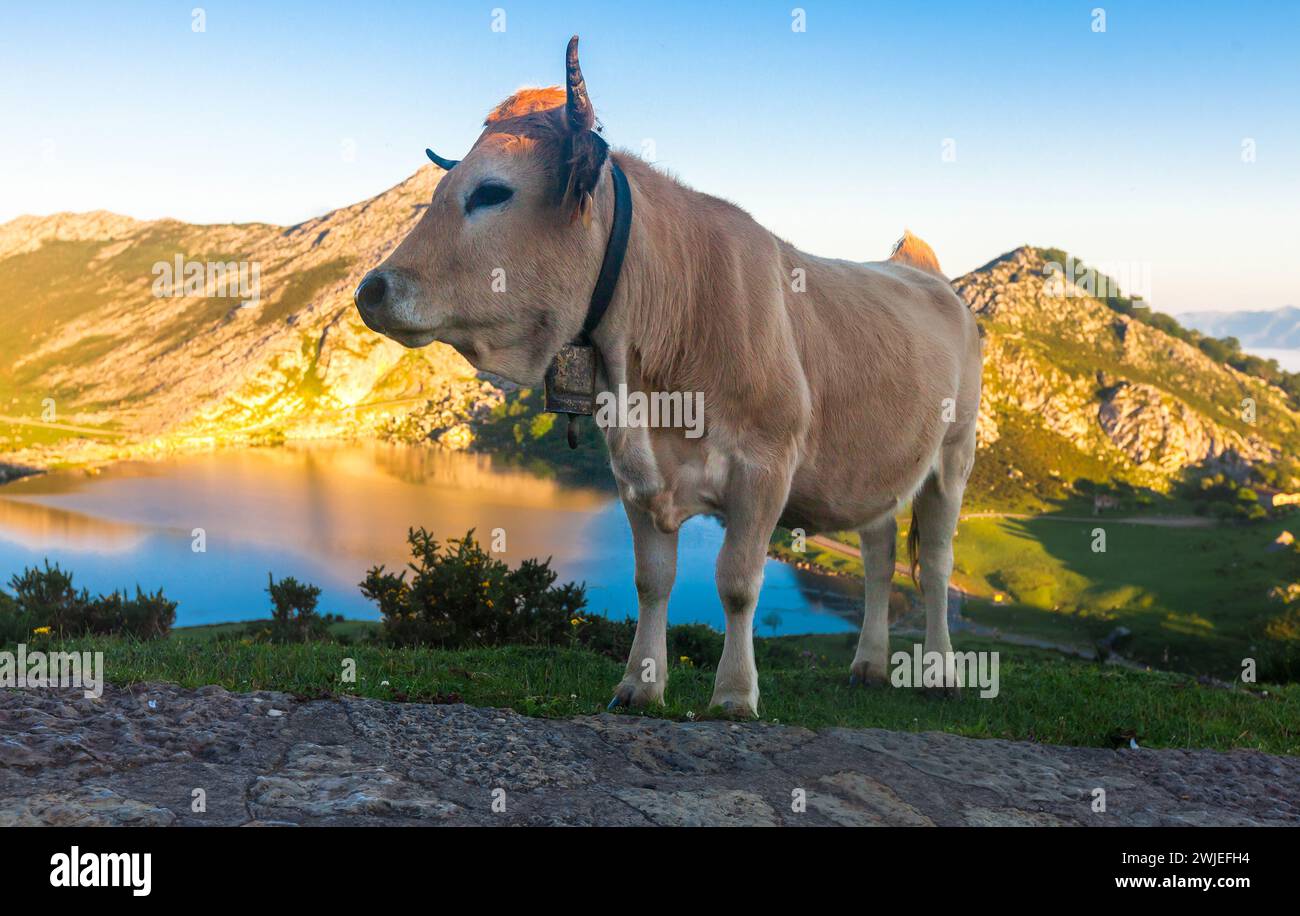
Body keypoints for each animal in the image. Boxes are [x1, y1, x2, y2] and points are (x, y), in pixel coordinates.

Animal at [354, 36, 982, 717]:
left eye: (492, 192)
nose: (371, 290)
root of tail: (922, 270)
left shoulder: (766, 466)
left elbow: (737, 583)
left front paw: (734, 695)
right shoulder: (634, 472)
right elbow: (651, 580)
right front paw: (639, 684)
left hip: (954, 456)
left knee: (938, 563)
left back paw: (942, 672)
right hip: (876, 467)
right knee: (879, 554)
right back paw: (867, 664)